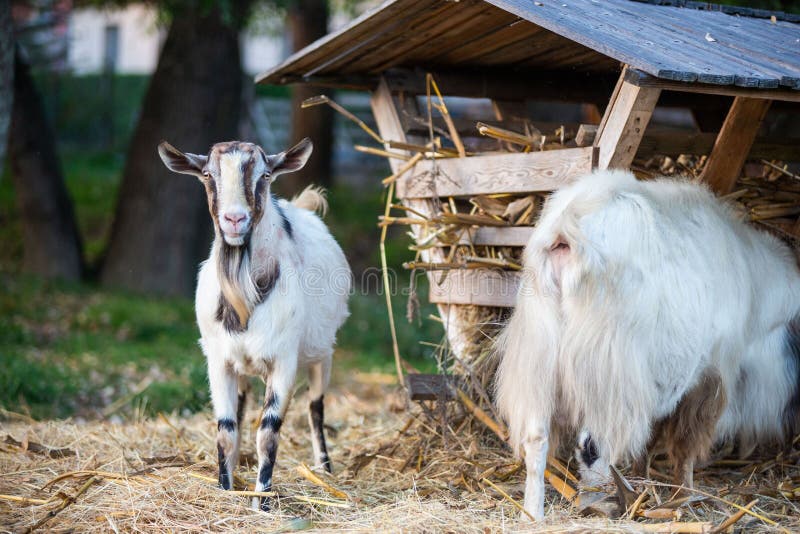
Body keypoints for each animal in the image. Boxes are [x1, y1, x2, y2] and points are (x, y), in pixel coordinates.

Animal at [158, 138, 351, 511]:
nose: (235, 218)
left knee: (315, 407)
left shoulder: (284, 360)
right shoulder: (218, 359)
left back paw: (325, 469)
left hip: (323, 354)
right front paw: (225, 488)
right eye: (207, 174)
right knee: (245, 405)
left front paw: (261, 500)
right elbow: (226, 429)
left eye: (264, 175)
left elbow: (268, 432)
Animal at [495, 169, 800, 520]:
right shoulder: (709, 375)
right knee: (592, 445)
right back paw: (600, 502)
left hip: (539, 362)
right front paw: (685, 497)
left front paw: (644, 480)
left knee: (537, 437)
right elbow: (685, 445)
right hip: (607, 374)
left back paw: (533, 514)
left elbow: (650, 439)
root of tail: (566, 230)